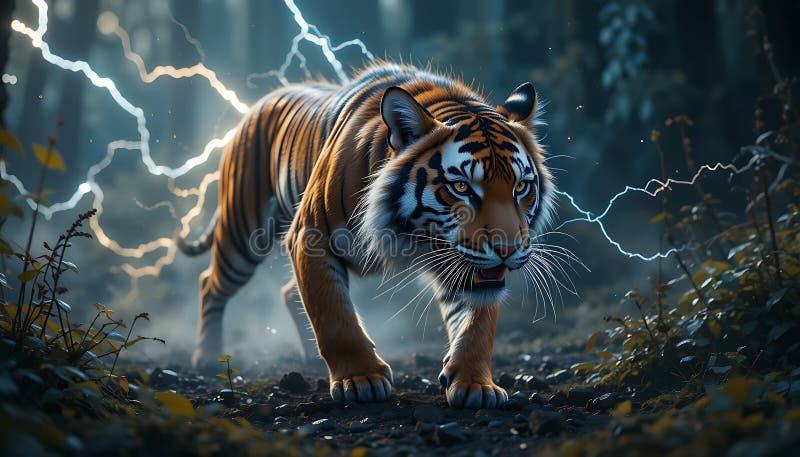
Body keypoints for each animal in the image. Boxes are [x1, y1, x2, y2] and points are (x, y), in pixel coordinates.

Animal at [177, 63, 555, 409]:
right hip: (241, 234)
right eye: (461, 187)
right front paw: (361, 380)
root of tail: (253, 107)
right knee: (210, 283)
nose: (507, 249)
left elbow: (477, 322)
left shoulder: (465, 264)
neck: (413, 233)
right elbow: (334, 316)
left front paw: (476, 383)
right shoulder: (309, 237)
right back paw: (207, 356)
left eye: (521, 187)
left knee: (287, 292)